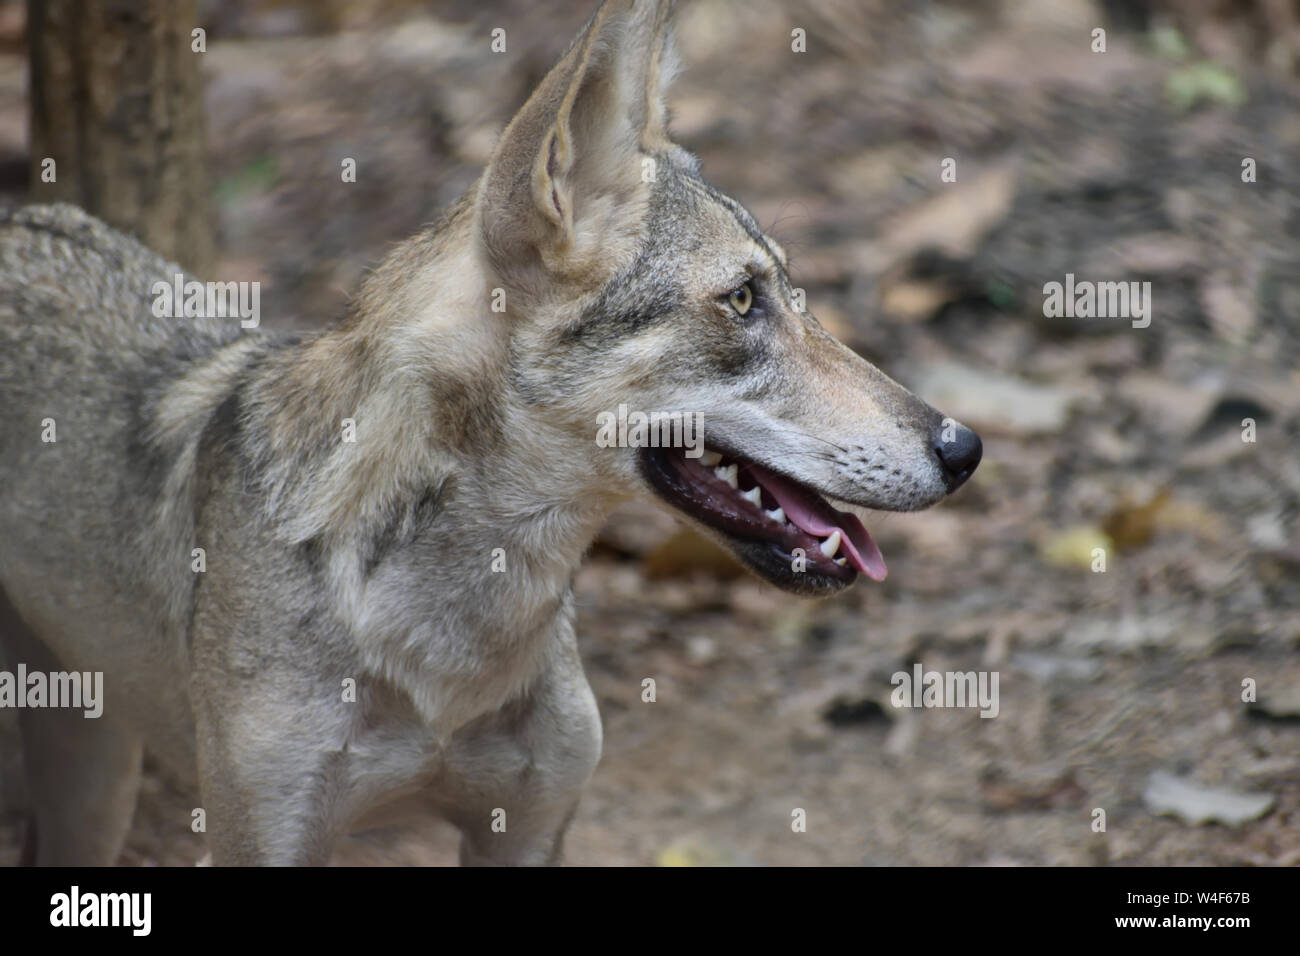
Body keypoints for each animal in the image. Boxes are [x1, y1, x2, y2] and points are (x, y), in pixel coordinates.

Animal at [0, 0, 980, 865]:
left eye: (792, 295)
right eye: (742, 300)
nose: (964, 450)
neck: (456, 648)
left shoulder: (530, 829)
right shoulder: (264, 842)